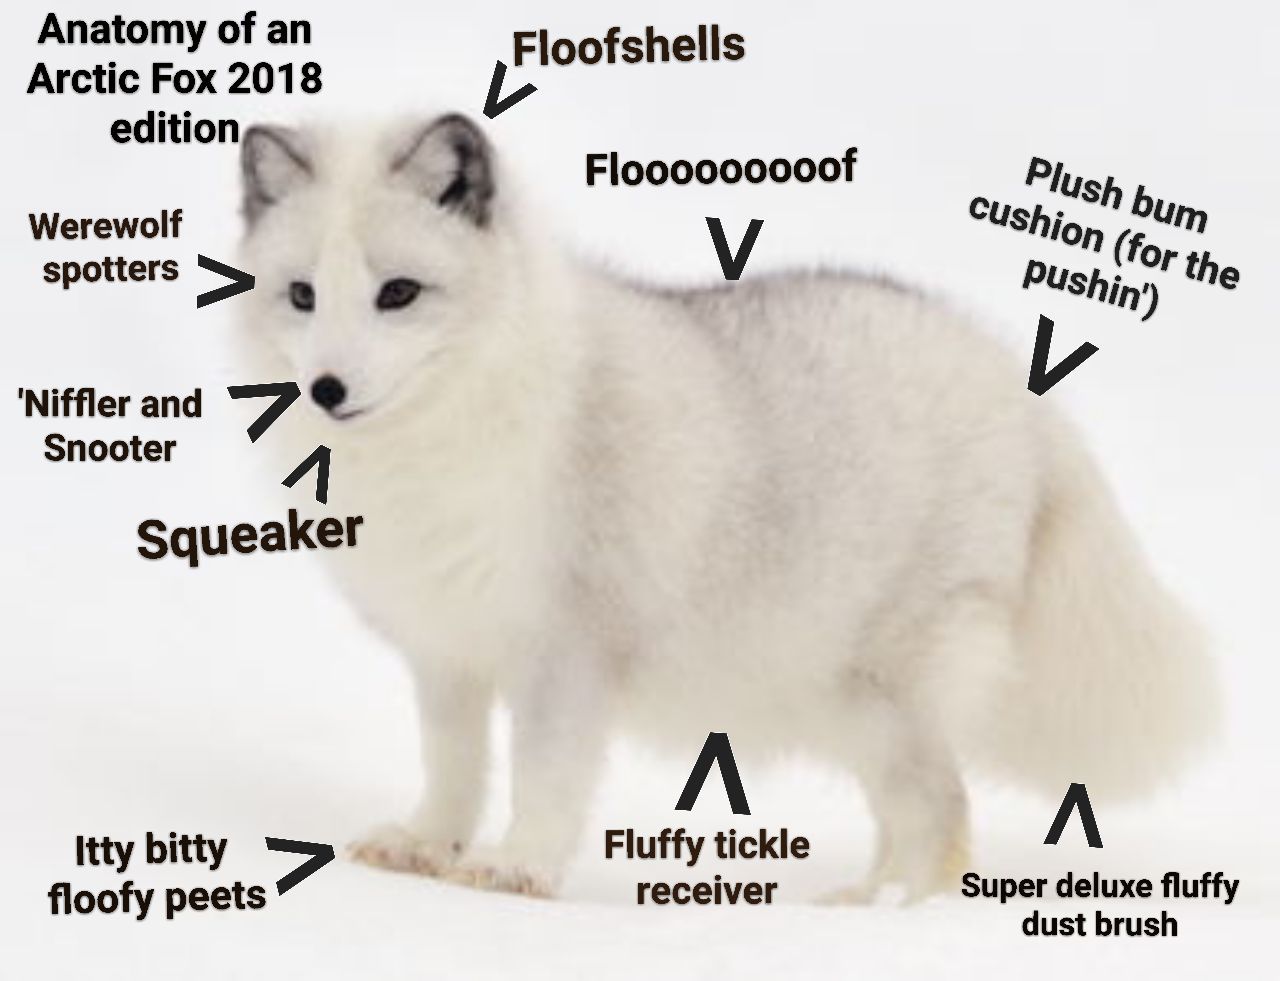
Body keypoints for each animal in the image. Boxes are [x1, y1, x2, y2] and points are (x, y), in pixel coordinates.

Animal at [234, 113, 1218, 903]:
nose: (326, 389)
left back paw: (890, 913)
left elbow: (545, 774)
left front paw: (519, 869)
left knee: (943, 812)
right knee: (917, 809)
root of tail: (1023, 387)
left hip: (881, 688)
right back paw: (861, 897)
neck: (447, 429)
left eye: (398, 293)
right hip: (841, 697)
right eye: (302, 295)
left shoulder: (568, 646)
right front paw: (427, 844)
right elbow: (453, 764)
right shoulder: (446, 647)